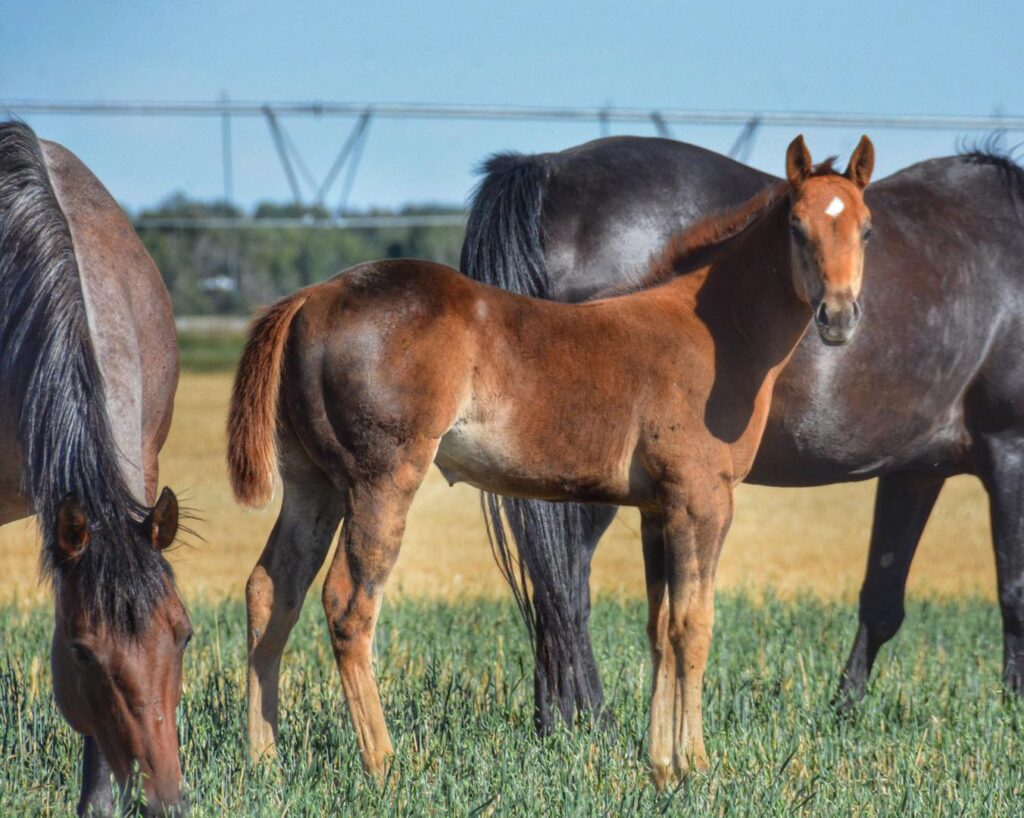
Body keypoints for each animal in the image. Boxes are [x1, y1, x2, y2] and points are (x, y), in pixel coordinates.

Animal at [227, 136, 875, 786]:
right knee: (348, 605)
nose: (840, 316)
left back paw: (264, 760)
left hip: (314, 485)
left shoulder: (657, 508)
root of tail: (309, 298)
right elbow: (693, 626)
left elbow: (659, 627)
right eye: (796, 227)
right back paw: (384, 764)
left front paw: (661, 764)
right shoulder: (702, 499)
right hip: (379, 482)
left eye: (865, 229)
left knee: (270, 591)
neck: (711, 332)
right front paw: (696, 764)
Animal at [461, 133, 1024, 734]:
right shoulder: (1009, 451)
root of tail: (544, 169)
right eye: (795, 230)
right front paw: (1014, 705)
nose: (841, 317)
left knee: (550, 585)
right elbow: (1013, 591)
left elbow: (881, 598)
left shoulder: (914, 470)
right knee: (565, 583)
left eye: (868, 230)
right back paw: (593, 720)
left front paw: (844, 708)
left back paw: (557, 720)